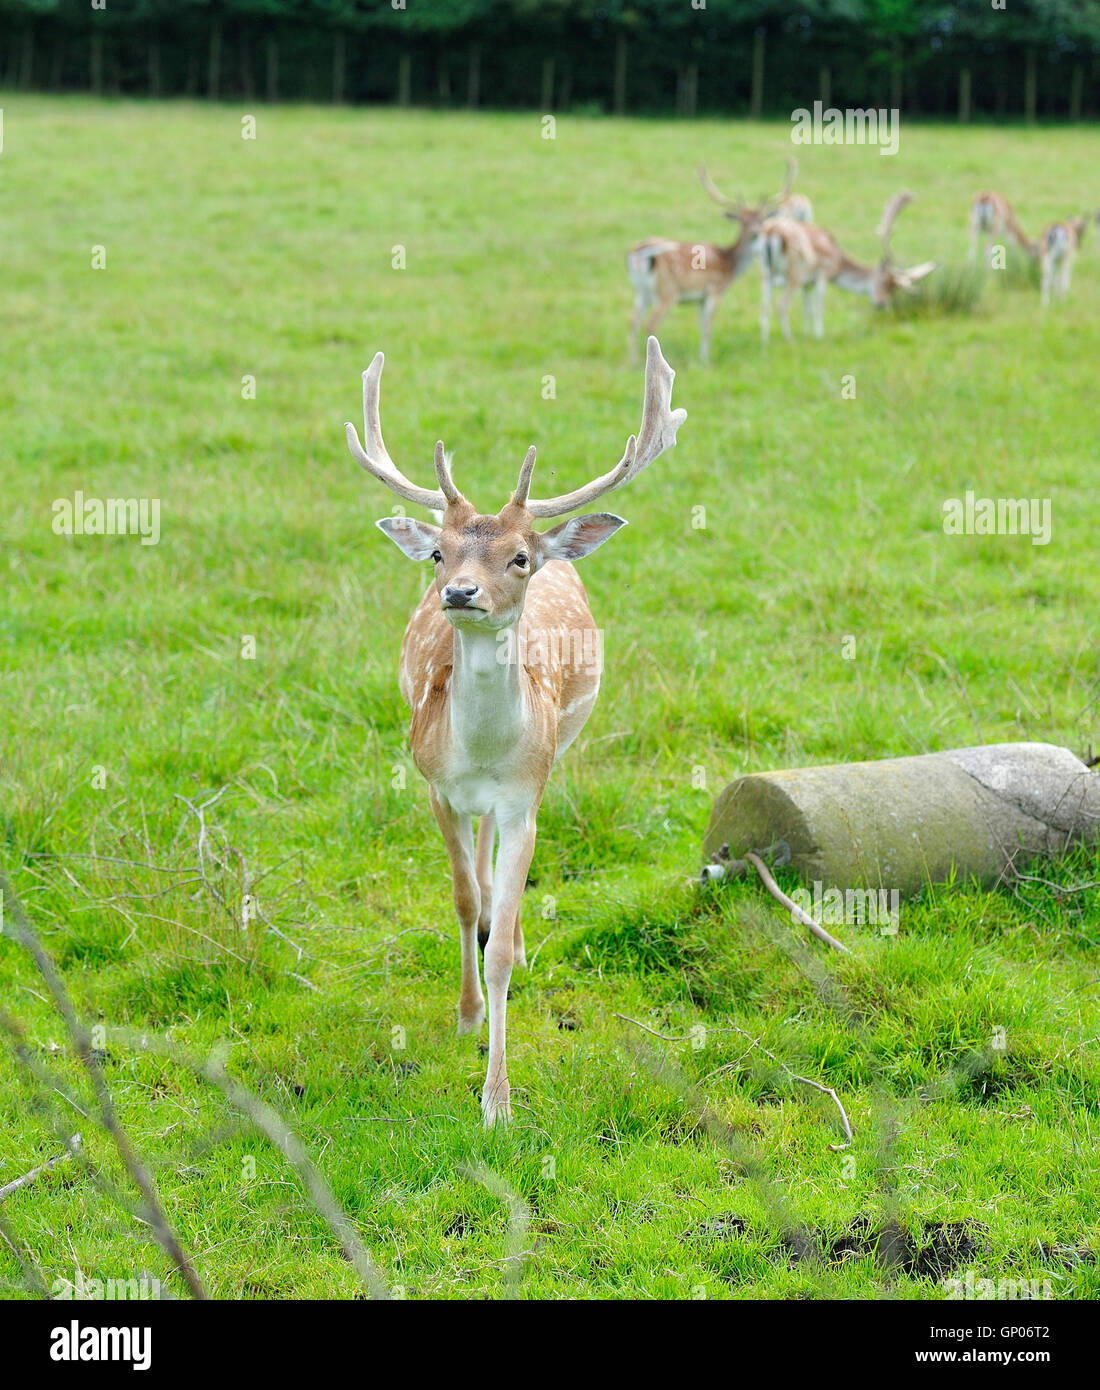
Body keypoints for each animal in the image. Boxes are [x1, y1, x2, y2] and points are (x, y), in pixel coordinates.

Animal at [346, 337, 686, 1127]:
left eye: (519, 557)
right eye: (440, 552)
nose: (459, 592)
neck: (482, 758)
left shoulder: (524, 793)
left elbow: (499, 930)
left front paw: (496, 1101)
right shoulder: (433, 785)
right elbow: (463, 898)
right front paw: (467, 1016)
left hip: (557, 755)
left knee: (506, 866)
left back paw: (520, 935)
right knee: (477, 866)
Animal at [626, 166, 779, 365]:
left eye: (761, 219)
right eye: (743, 221)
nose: (756, 232)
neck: (729, 264)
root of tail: (637, 252)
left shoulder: (700, 299)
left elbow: (701, 326)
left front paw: (702, 357)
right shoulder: (714, 290)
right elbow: (707, 327)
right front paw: (706, 361)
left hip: (641, 291)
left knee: (633, 322)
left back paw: (633, 361)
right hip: (667, 291)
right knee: (651, 323)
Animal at [758, 191, 937, 343]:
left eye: (893, 289)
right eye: (884, 282)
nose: (881, 304)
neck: (838, 261)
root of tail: (771, 231)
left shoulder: (807, 283)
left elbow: (807, 307)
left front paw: (806, 333)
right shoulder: (824, 272)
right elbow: (818, 304)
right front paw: (819, 336)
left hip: (767, 273)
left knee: (765, 305)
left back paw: (765, 341)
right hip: (795, 272)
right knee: (781, 304)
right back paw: (789, 340)